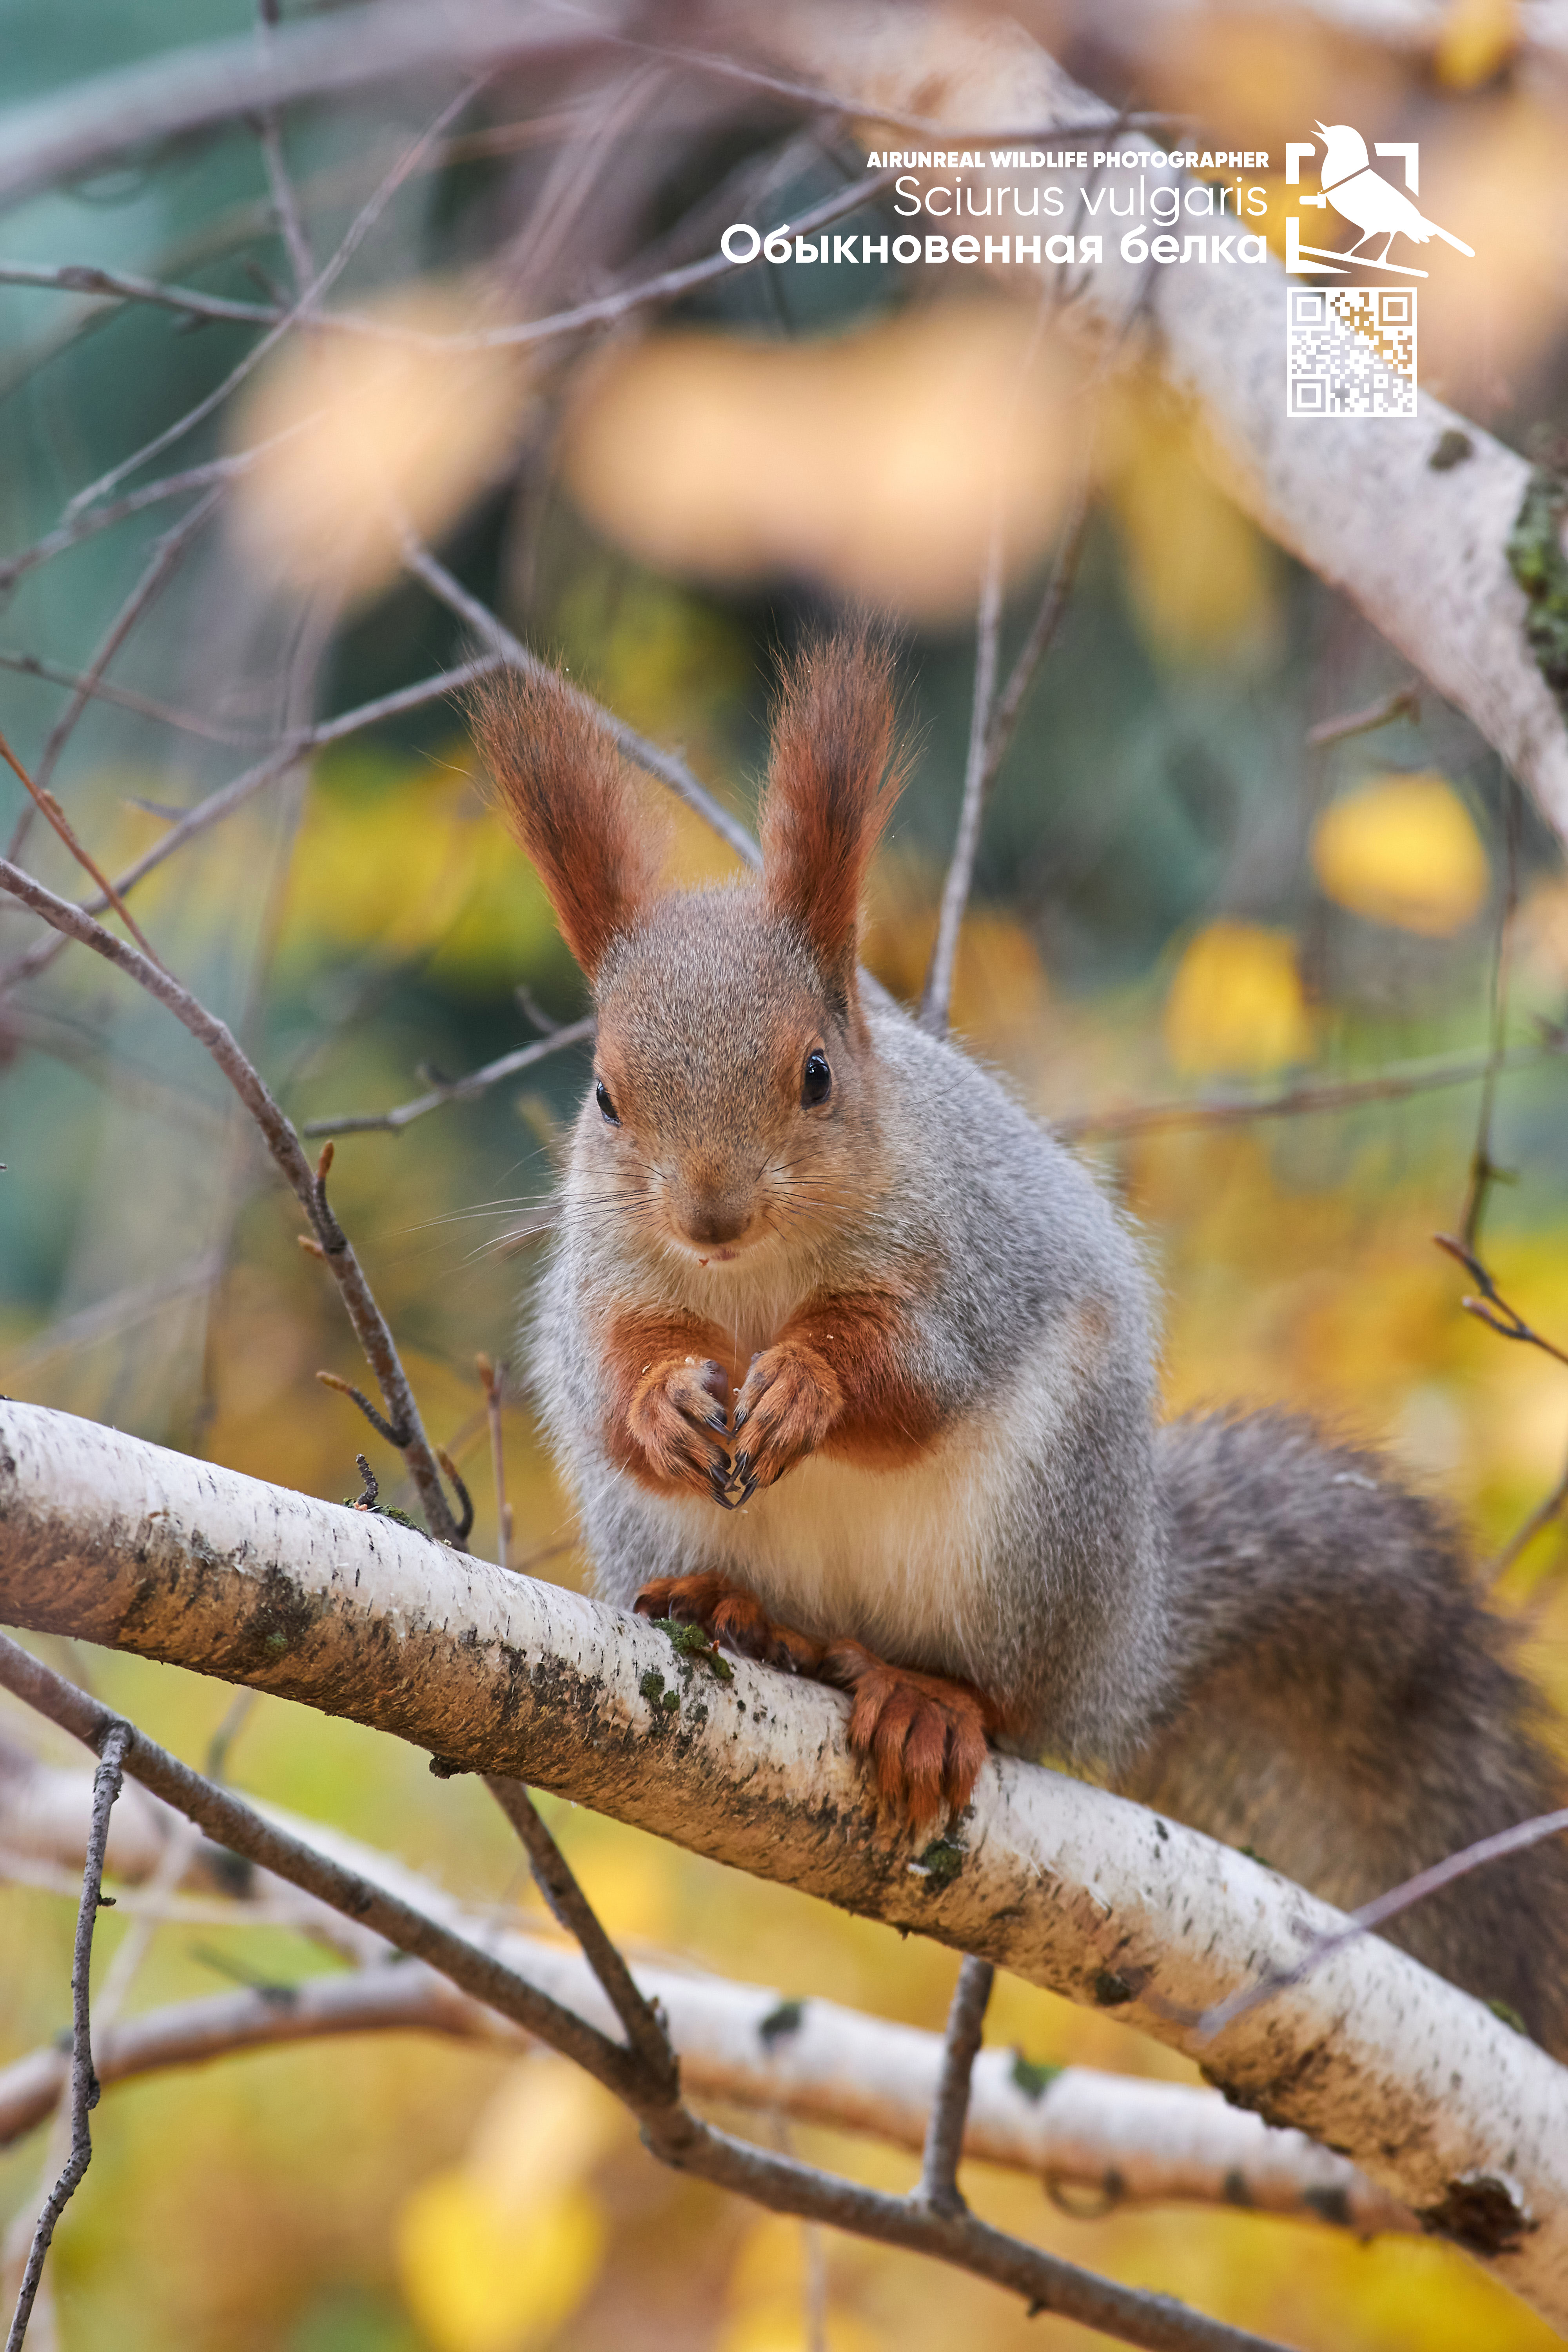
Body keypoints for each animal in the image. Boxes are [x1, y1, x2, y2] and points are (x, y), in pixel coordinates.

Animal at [472, 635, 1568, 2051]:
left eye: (817, 1074)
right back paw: (742, 1615)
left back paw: (928, 1703)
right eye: (605, 1097)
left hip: (1028, 1547)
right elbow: (608, 1375)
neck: (756, 1279)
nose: (710, 1217)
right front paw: (667, 1404)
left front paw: (808, 1386)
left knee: (1010, 1703)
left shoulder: (974, 1257)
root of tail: (1126, 1643)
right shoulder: (599, 1287)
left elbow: (915, 1372)